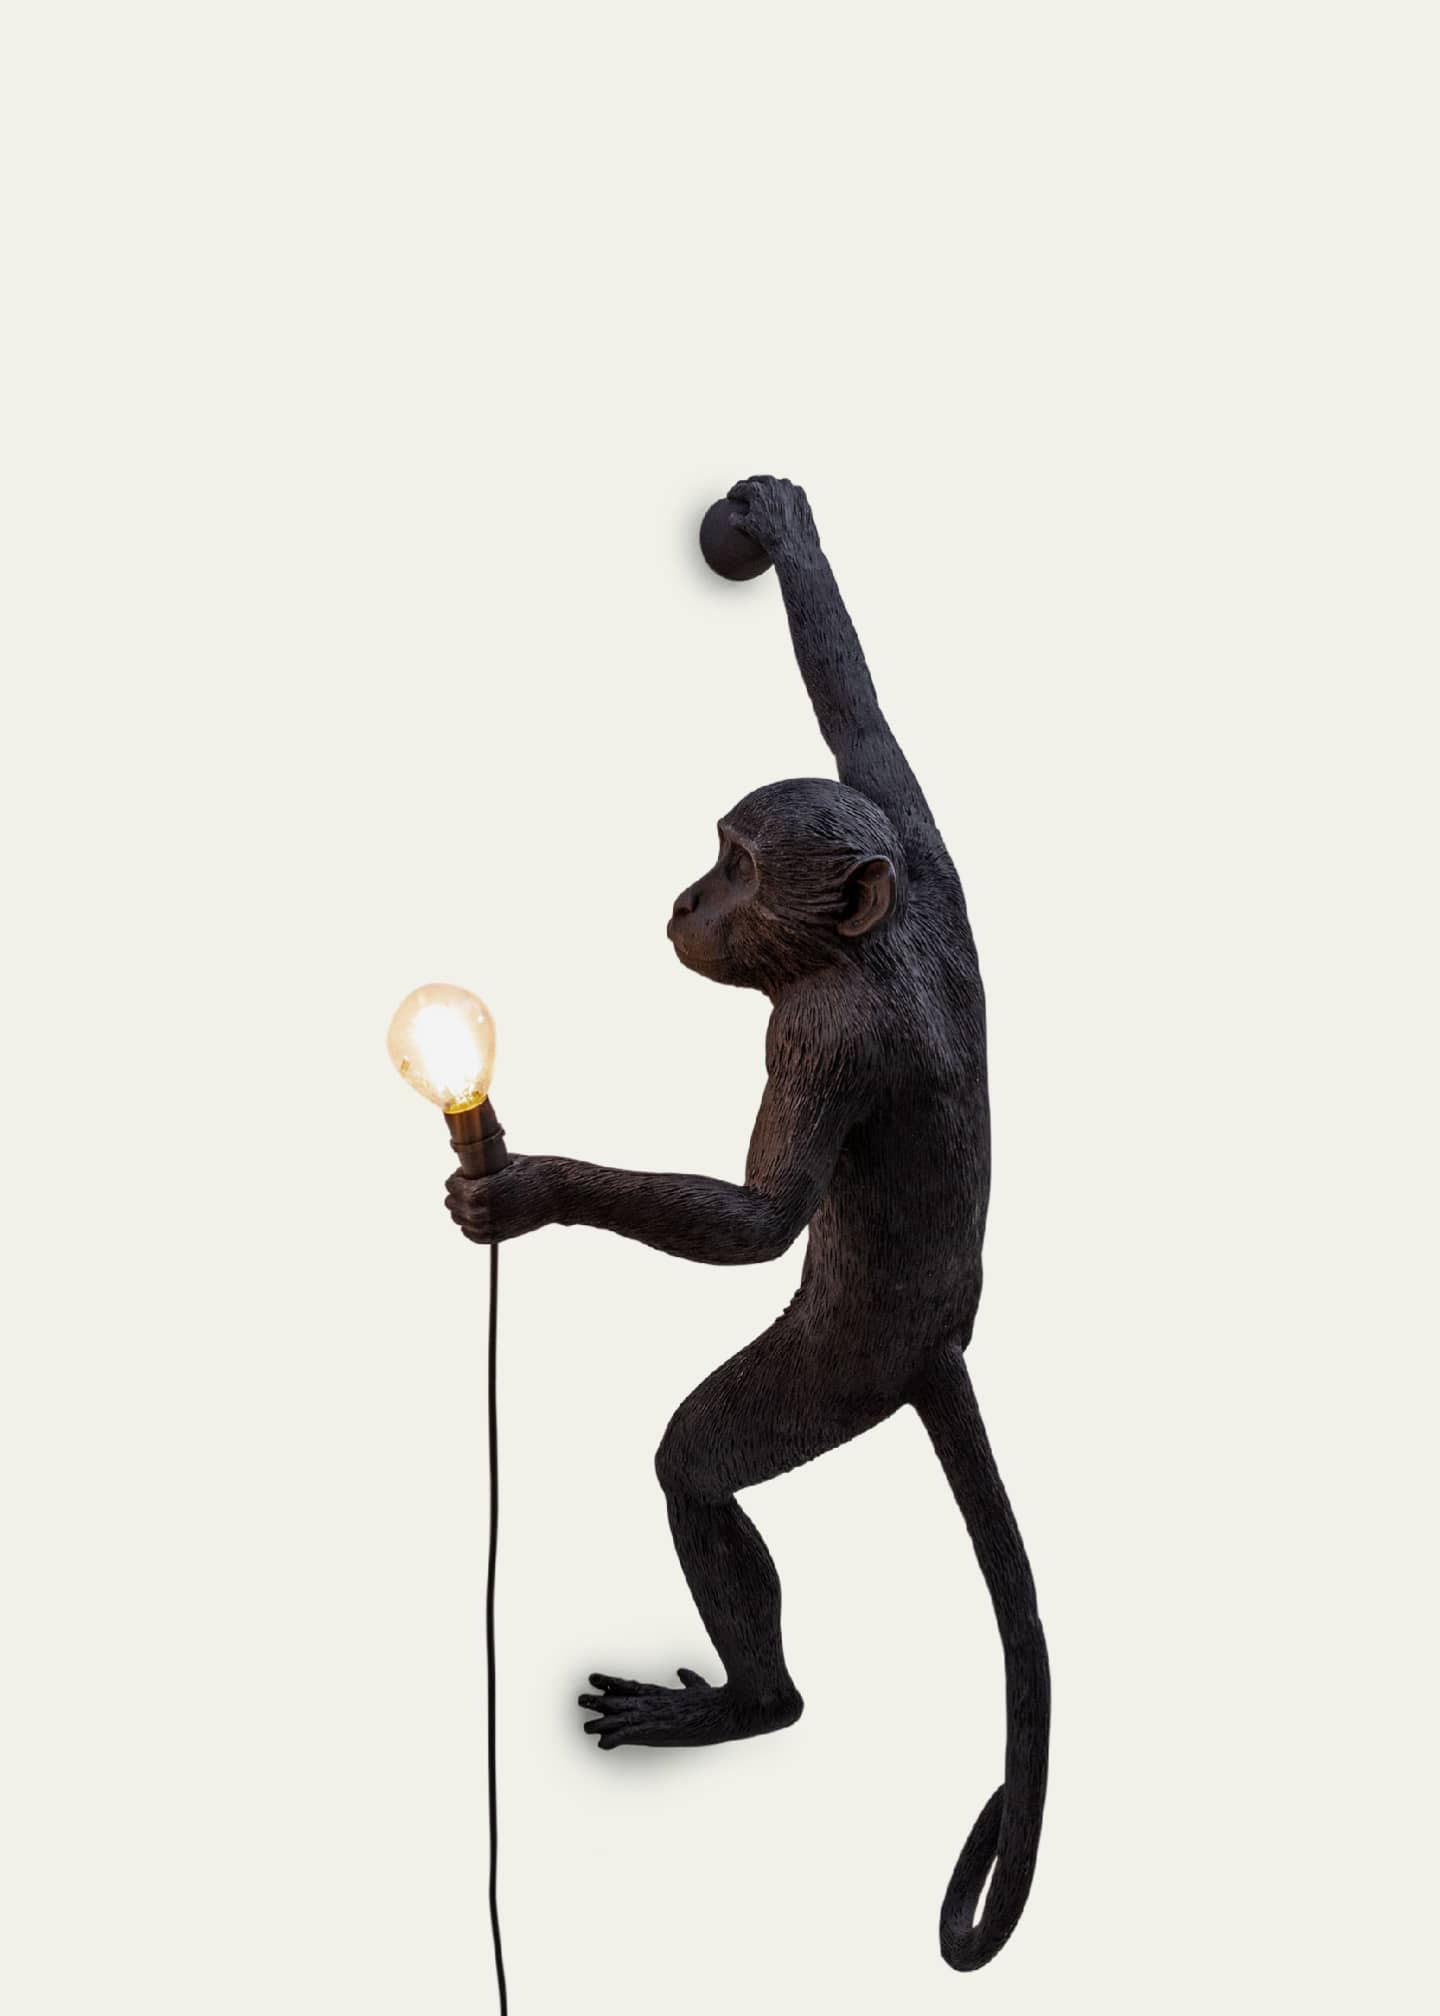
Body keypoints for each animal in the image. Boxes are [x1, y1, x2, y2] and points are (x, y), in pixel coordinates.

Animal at [445, 475, 1050, 1972]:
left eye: (734, 869)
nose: (682, 899)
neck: (861, 948)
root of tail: (942, 1344)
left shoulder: (814, 1035)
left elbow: (766, 1223)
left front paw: (522, 1188)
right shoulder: (928, 856)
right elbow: (869, 725)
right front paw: (780, 529)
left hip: (839, 1367)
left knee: (696, 1466)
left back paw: (749, 1703)